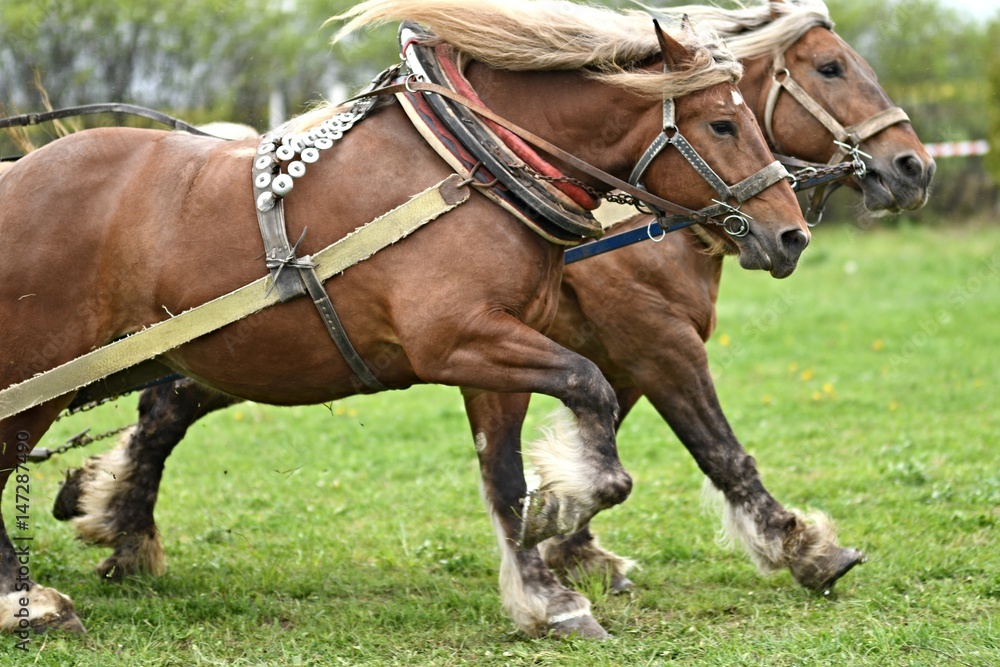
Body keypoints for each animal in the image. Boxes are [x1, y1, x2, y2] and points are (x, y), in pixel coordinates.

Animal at [48, 0, 933, 612]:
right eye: (830, 69)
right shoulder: (657, 342)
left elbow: (593, 435)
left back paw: (109, 517)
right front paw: (801, 546)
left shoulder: (608, 352)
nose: (914, 166)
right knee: (160, 406)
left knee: (165, 405)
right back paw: (114, 524)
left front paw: (569, 536)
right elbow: (719, 450)